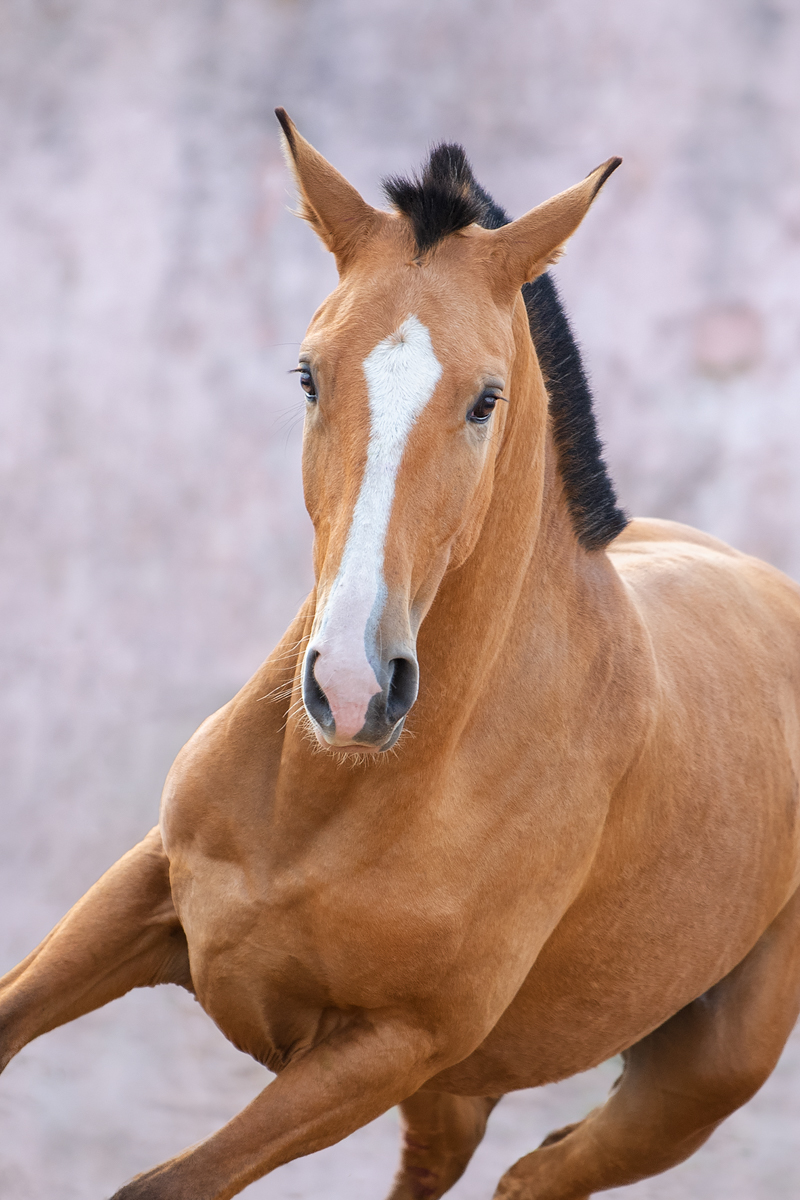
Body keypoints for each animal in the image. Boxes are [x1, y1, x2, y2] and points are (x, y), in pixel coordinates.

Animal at [1, 108, 799, 1200]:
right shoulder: (144, 898)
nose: (349, 687)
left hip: (685, 1090)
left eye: (485, 400)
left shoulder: (382, 1051)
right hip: (457, 1096)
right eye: (308, 374)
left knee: (535, 1177)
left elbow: (162, 1185)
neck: (340, 798)